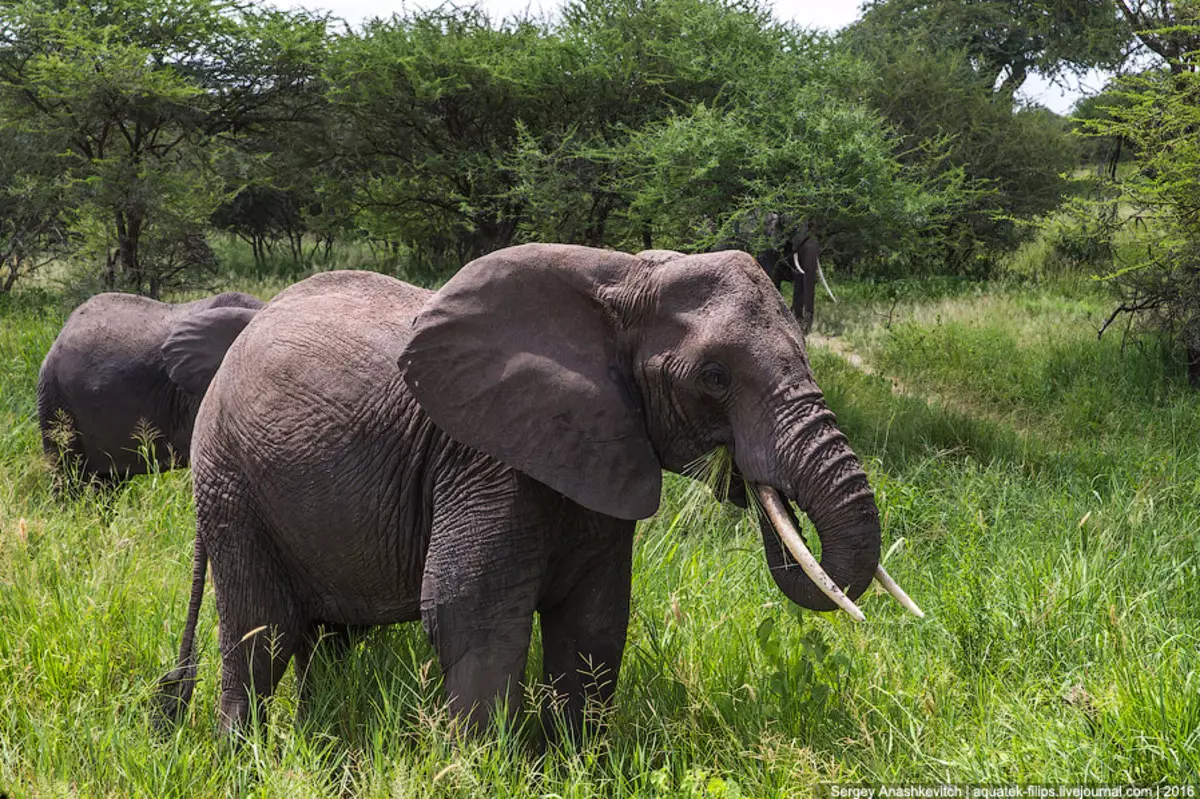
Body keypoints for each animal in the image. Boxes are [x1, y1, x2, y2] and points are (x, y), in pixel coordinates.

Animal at [152, 242, 916, 734]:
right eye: (715, 378)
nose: (755, 482)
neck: (625, 273)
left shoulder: (600, 451)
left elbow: (596, 622)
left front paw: (575, 765)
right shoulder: (484, 458)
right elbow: (470, 613)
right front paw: (477, 767)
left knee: (320, 637)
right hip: (230, 484)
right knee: (261, 633)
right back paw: (243, 758)